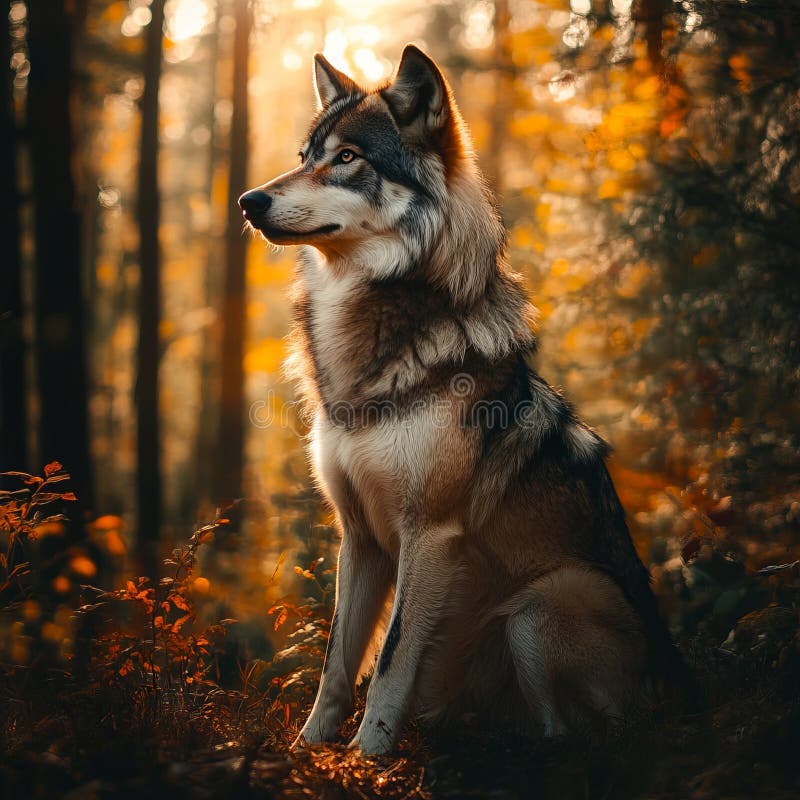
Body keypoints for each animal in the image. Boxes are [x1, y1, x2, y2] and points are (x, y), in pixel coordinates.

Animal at [239, 44, 688, 755]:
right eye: (306, 154)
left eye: (349, 157)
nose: (248, 200)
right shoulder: (358, 537)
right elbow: (337, 661)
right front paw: (310, 752)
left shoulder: (429, 534)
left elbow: (390, 658)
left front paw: (367, 758)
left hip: (544, 600)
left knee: (577, 736)